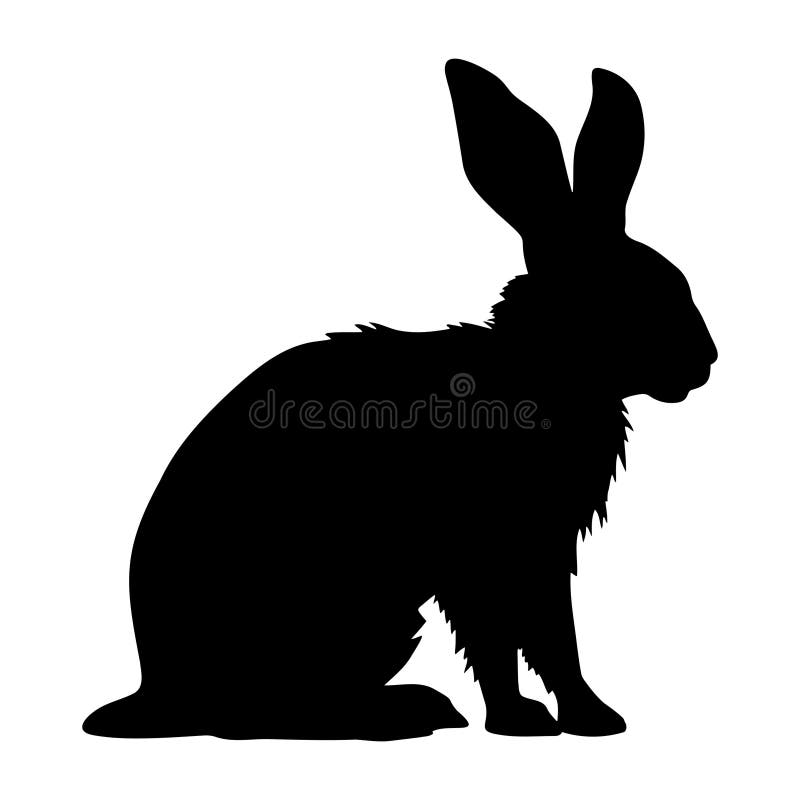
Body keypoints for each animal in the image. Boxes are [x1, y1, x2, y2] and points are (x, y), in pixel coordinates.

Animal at [84, 59, 717, 740]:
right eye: (633, 296)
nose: (707, 360)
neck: (543, 365)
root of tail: (159, 689)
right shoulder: (490, 550)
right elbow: (517, 639)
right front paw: (536, 721)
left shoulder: (537, 554)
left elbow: (547, 638)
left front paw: (579, 716)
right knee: (272, 712)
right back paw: (406, 713)